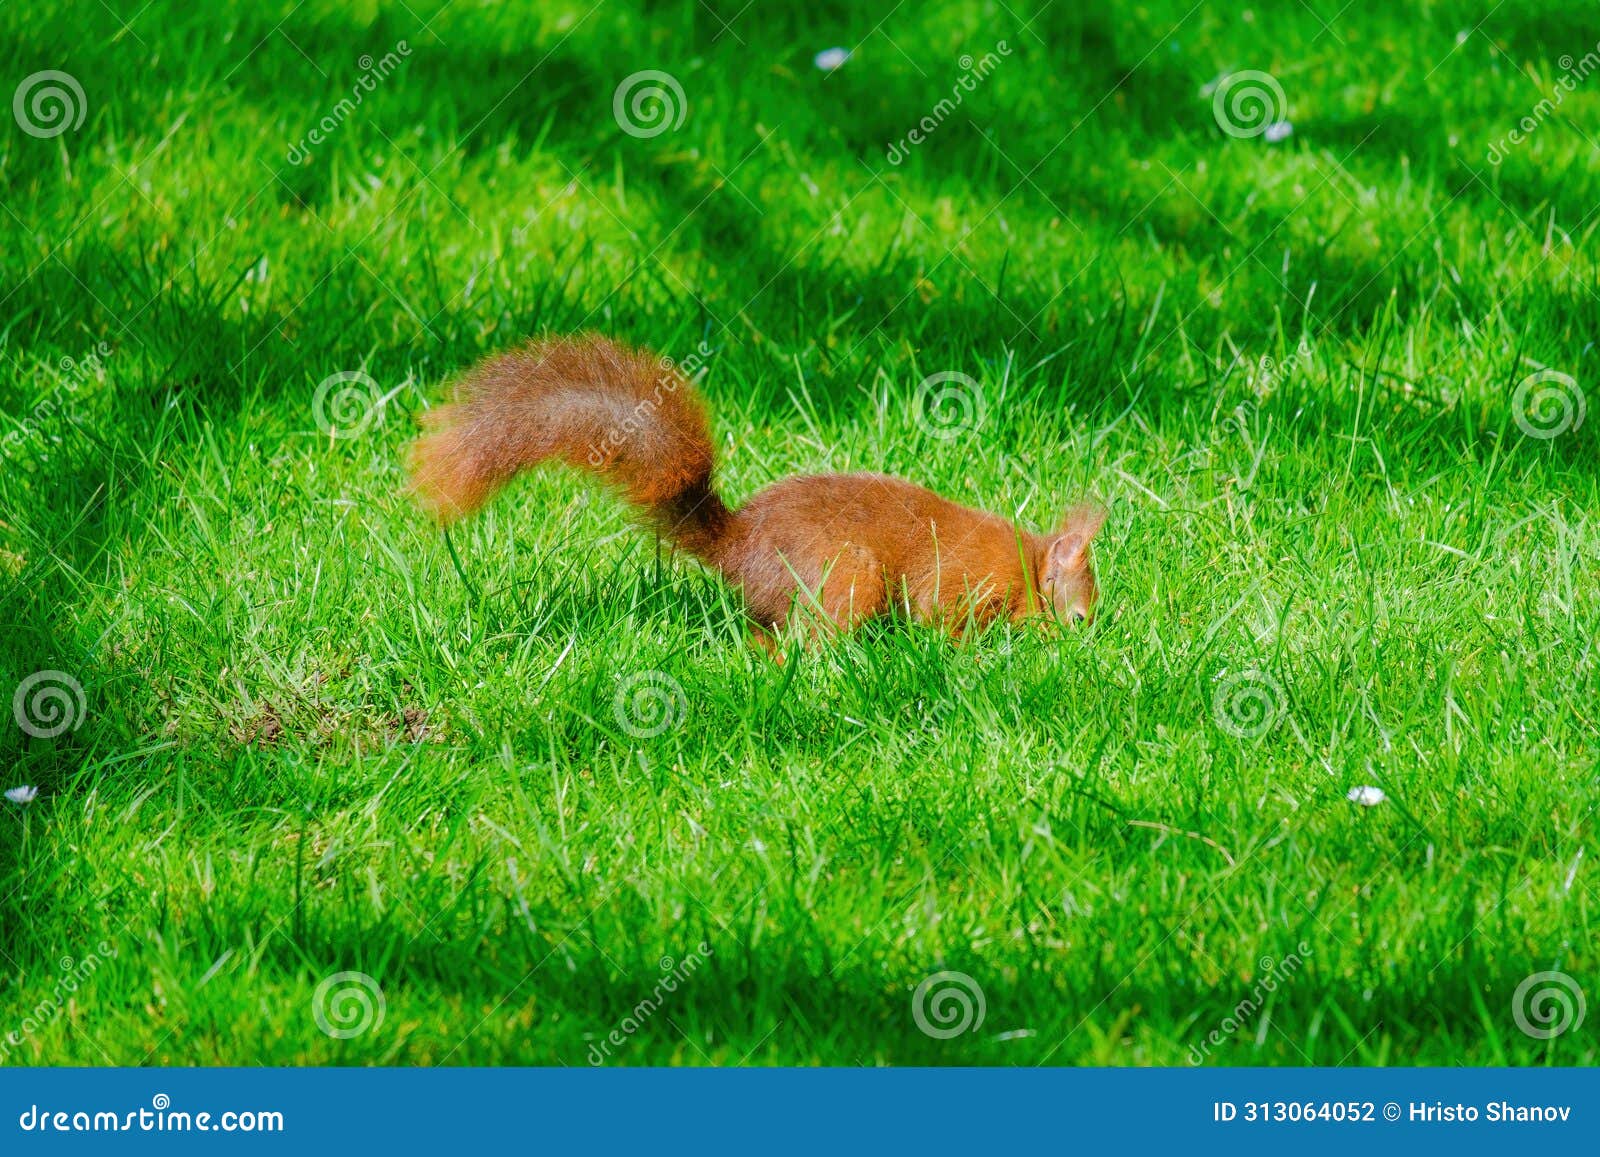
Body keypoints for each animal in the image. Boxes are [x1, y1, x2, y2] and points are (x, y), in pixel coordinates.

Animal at [408, 334, 1106, 648]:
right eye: (1078, 614)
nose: (1081, 644)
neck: (1029, 561)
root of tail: (739, 545)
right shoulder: (970, 579)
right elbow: (945, 618)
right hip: (846, 580)